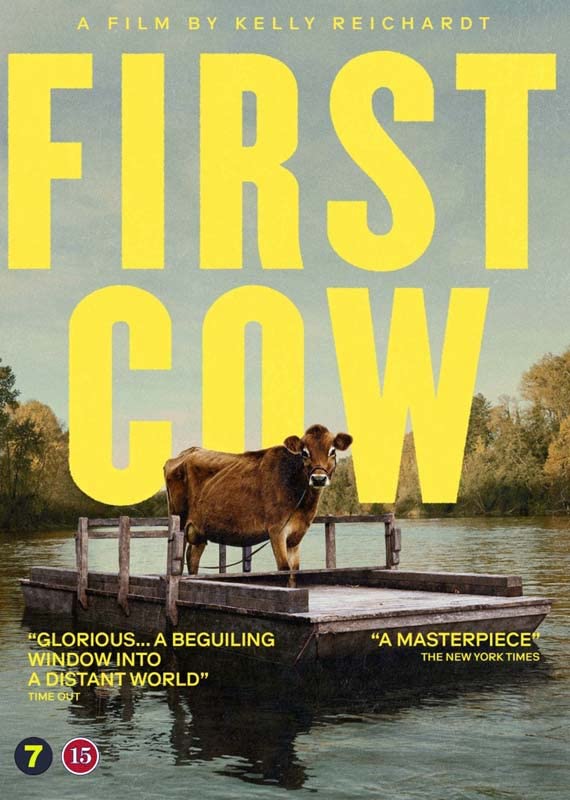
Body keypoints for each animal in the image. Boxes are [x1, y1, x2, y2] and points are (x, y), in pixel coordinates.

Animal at [163, 425, 353, 580]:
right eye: (304, 453)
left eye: (332, 451)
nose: (318, 479)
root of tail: (186, 453)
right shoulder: (277, 530)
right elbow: (284, 569)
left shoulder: (296, 536)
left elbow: (294, 571)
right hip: (180, 521)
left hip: (200, 529)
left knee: (193, 558)